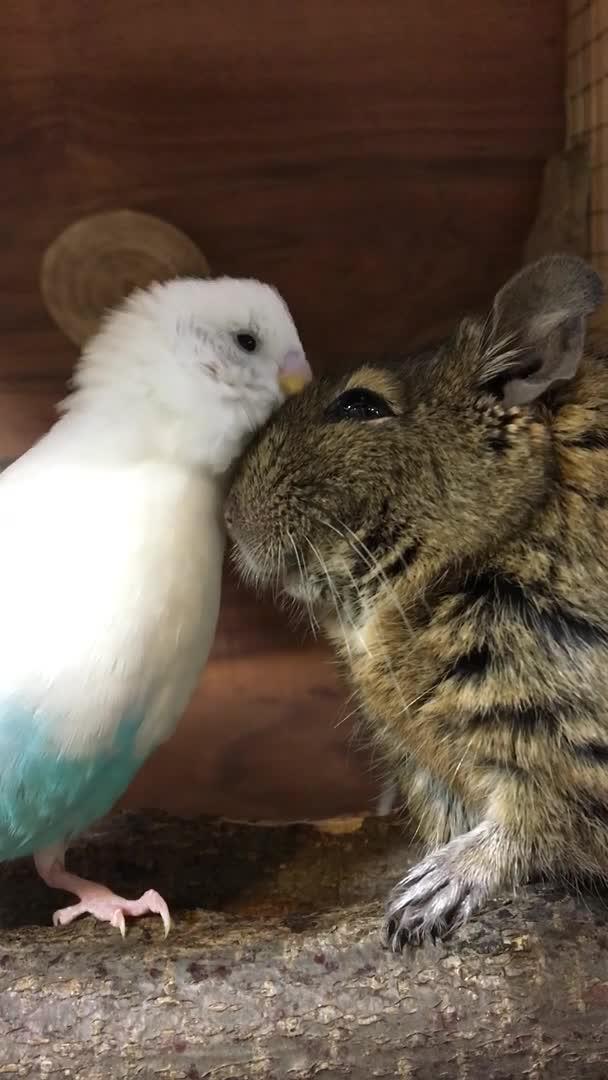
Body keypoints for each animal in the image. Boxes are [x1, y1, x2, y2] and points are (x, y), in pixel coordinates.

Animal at [225, 254, 608, 949]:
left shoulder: (560, 735)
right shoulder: (427, 763)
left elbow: (527, 823)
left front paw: (427, 897)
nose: (227, 516)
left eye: (359, 403)